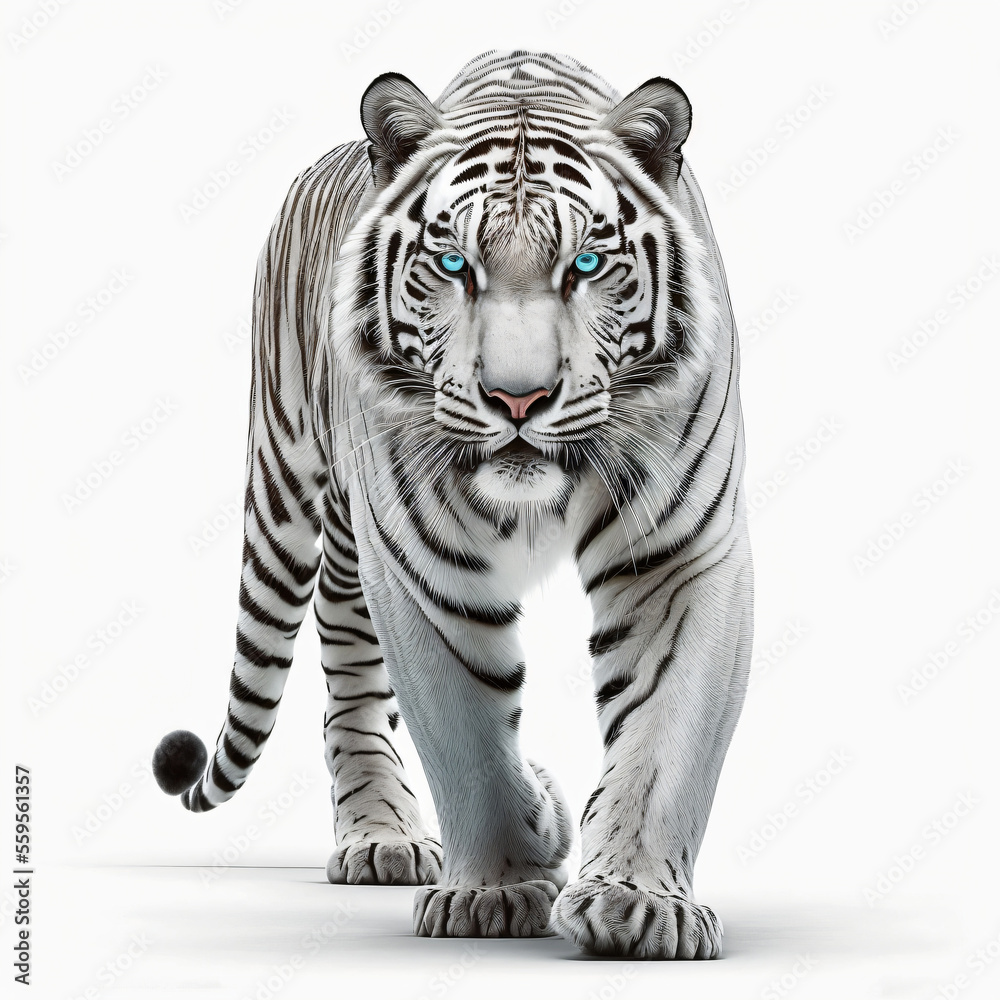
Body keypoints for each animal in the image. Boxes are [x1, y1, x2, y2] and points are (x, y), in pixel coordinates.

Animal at [152, 49, 753, 960]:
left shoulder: (678, 556)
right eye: (454, 266)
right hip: (289, 497)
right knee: (347, 686)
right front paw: (497, 888)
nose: (518, 399)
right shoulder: (423, 564)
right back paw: (384, 838)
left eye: (586, 266)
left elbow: (663, 742)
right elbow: (466, 737)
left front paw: (639, 906)